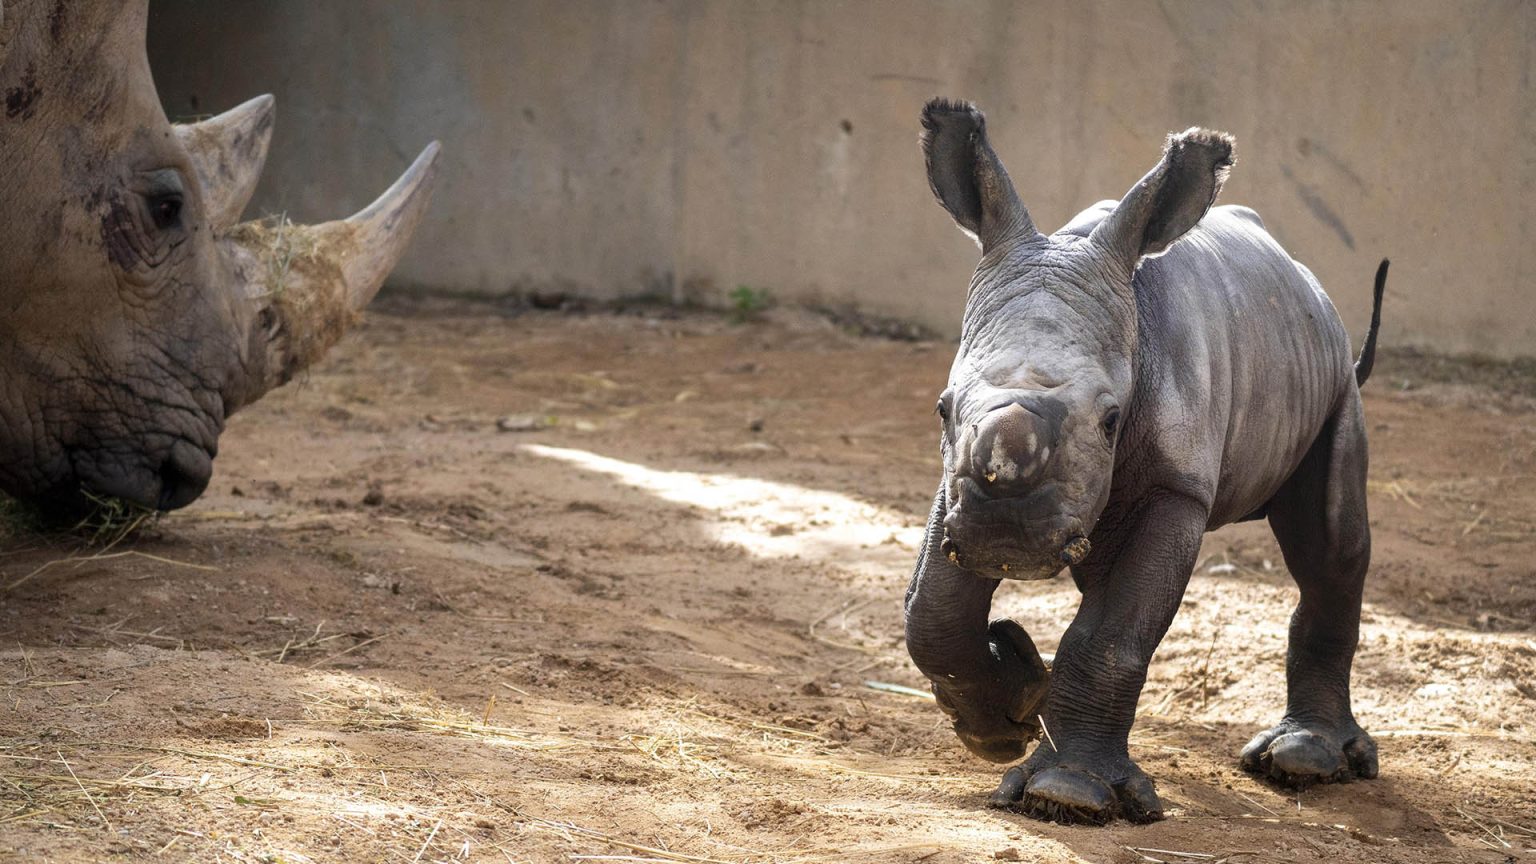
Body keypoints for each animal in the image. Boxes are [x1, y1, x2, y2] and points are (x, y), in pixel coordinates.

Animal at [903, 99, 1387, 824]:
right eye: (941, 408)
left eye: (1111, 419)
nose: (1007, 538)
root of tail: (1305, 277)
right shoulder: (955, 487)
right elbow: (932, 612)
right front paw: (1005, 719)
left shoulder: (1176, 486)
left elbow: (1113, 634)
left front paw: (1067, 795)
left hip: (1332, 383)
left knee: (1328, 546)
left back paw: (1301, 762)